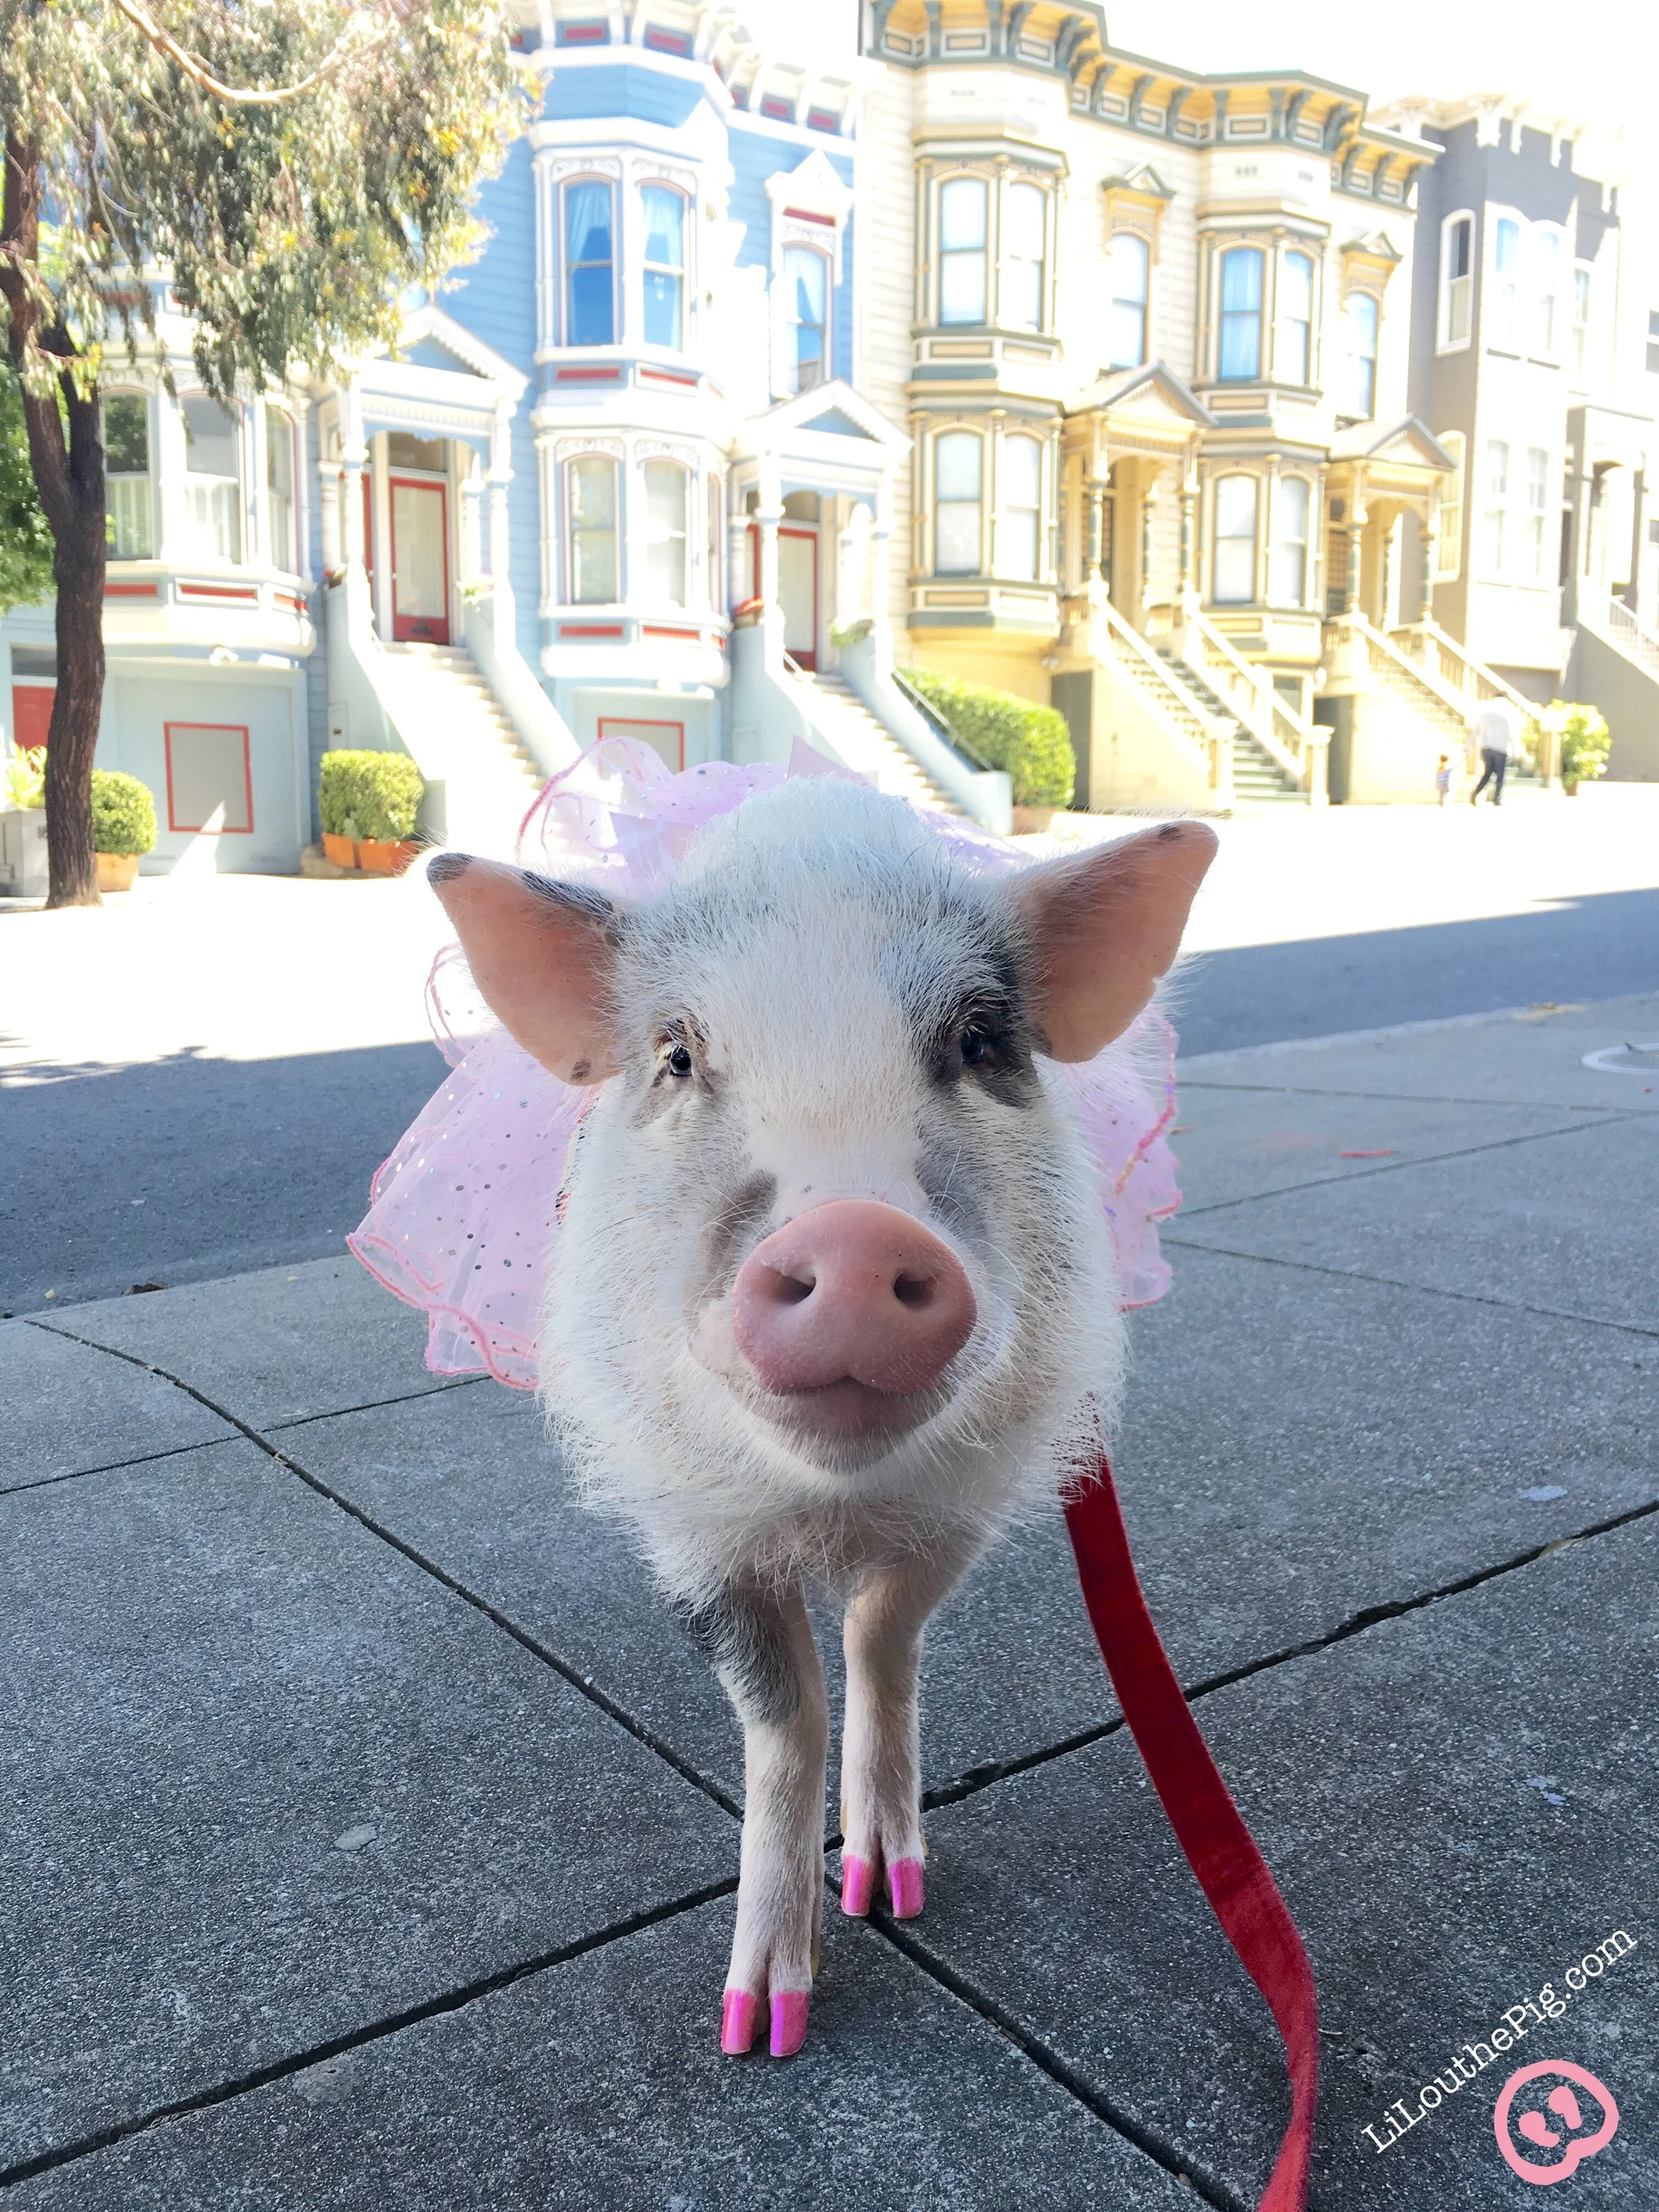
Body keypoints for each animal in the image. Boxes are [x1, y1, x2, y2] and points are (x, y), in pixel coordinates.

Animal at [427, 775, 1215, 2060]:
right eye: (678, 1053)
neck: (835, 1501)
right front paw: (760, 2030)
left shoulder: (966, 1499)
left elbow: (882, 1637)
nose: (852, 1236)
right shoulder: (687, 1530)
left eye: (978, 1041)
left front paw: (889, 1898)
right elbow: (781, 1719)